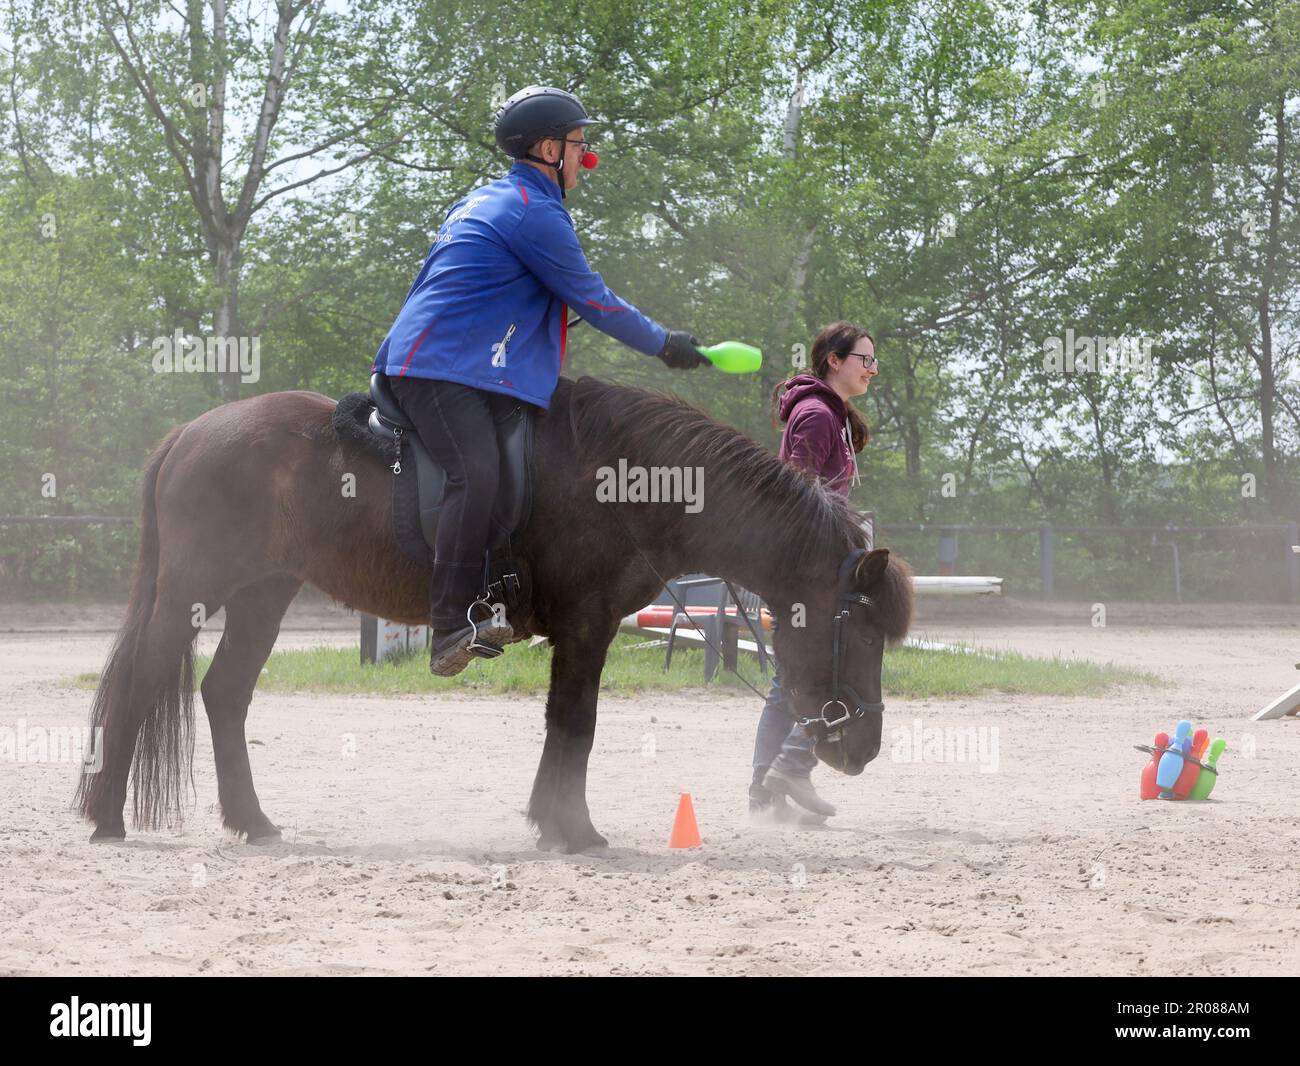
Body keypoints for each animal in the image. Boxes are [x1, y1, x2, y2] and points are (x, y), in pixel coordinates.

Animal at [75, 375, 914, 853]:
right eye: (863, 630)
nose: (864, 746)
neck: (624, 478)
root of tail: (190, 433)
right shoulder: (585, 624)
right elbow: (575, 723)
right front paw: (570, 829)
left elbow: (568, 725)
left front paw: (555, 821)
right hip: (196, 590)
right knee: (143, 682)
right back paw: (108, 816)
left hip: (263, 593)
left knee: (223, 694)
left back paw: (252, 821)